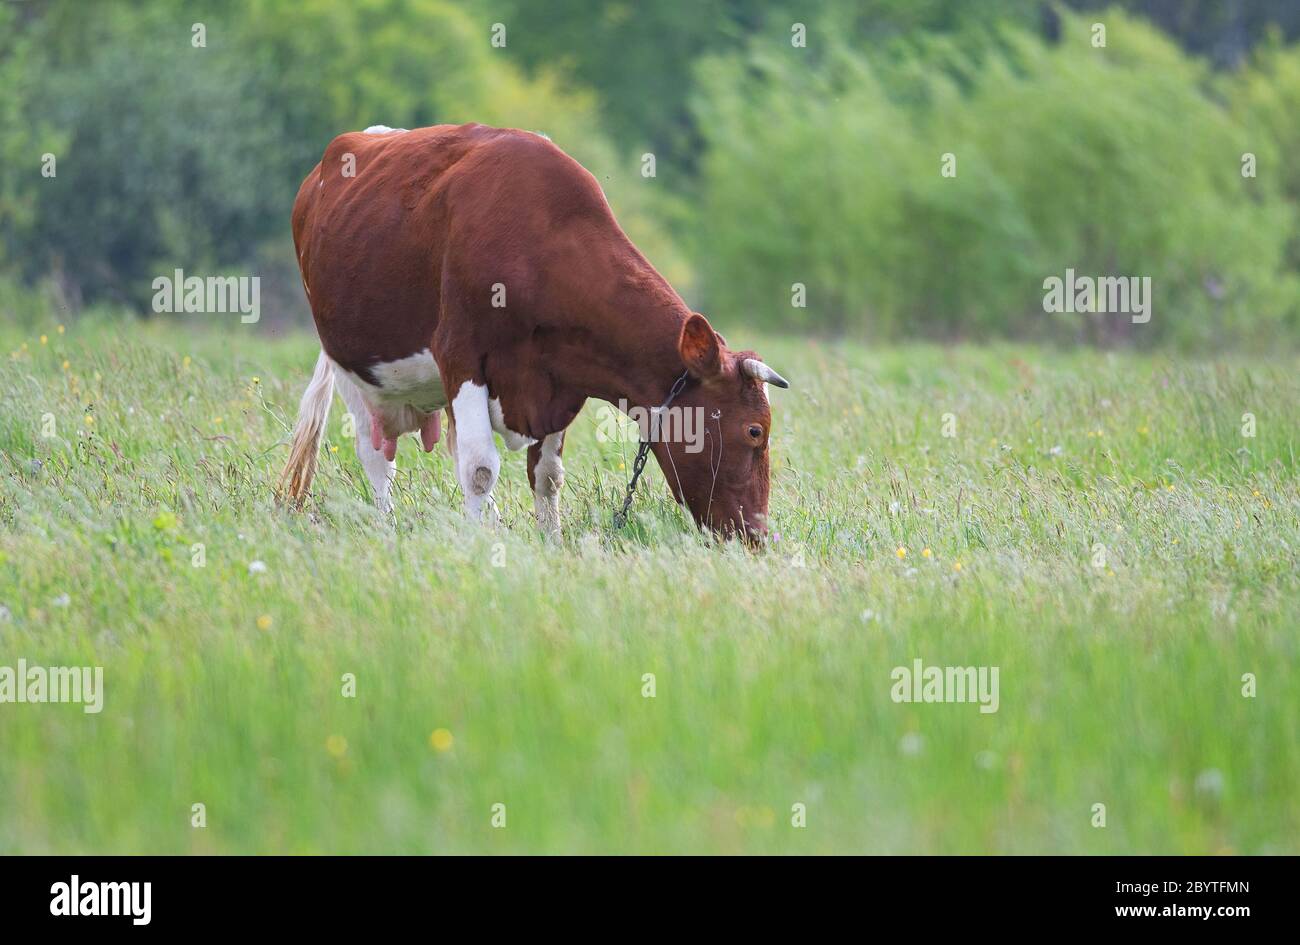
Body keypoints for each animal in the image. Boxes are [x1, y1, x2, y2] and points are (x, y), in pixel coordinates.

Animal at [278, 123, 789, 540]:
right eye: (755, 431)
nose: (757, 537)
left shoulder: (559, 378)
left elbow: (547, 475)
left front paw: (549, 542)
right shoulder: (461, 355)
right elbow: (480, 468)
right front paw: (484, 543)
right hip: (349, 364)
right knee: (376, 458)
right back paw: (387, 526)